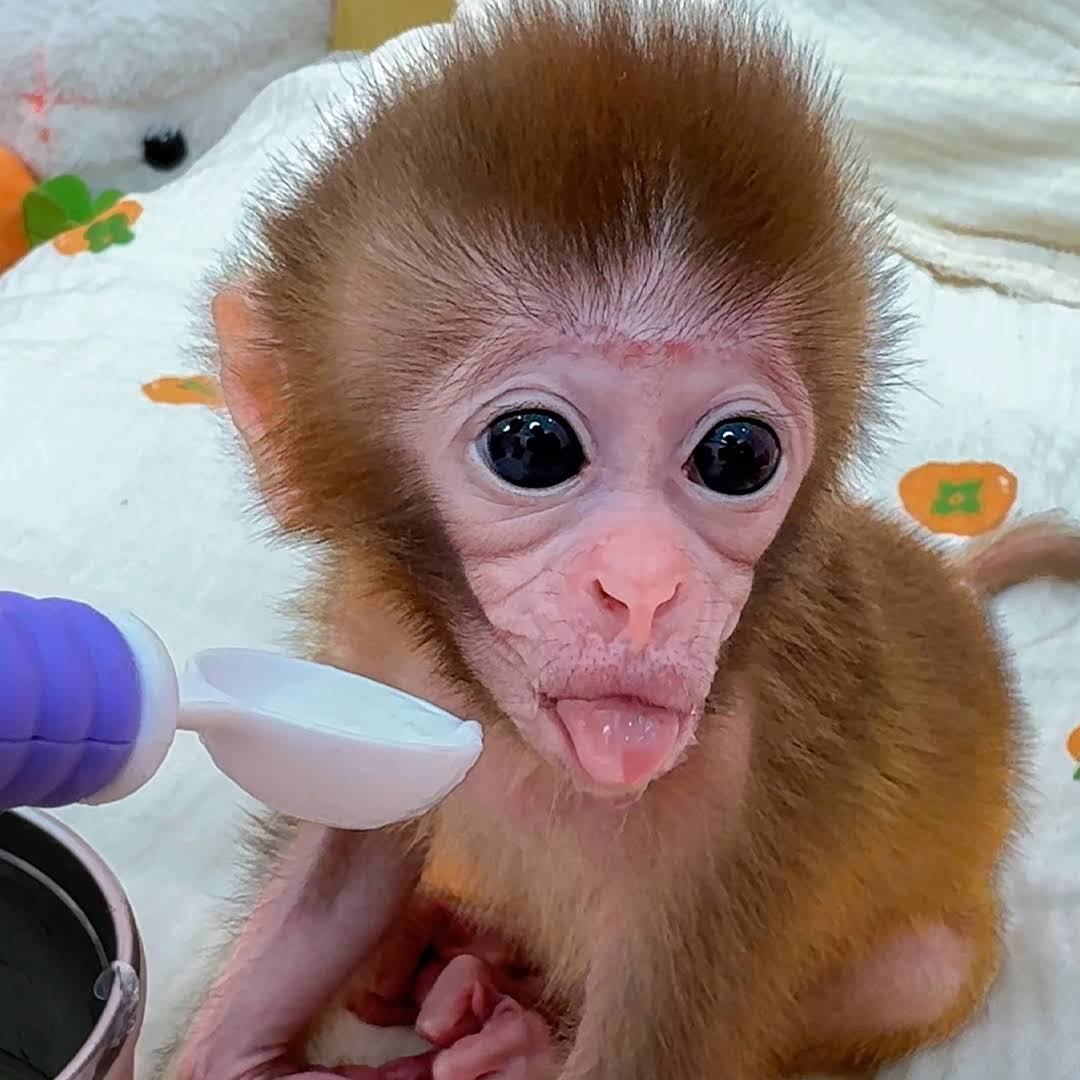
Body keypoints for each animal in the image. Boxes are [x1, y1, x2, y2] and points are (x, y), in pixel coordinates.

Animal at [153, 1, 1080, 1078]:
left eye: (737, 456)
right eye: (533, 446)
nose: (645, 586)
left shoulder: (742, 807)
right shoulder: (375, 654)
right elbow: (339, 856)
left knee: (919, 971)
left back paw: (506, 1026)